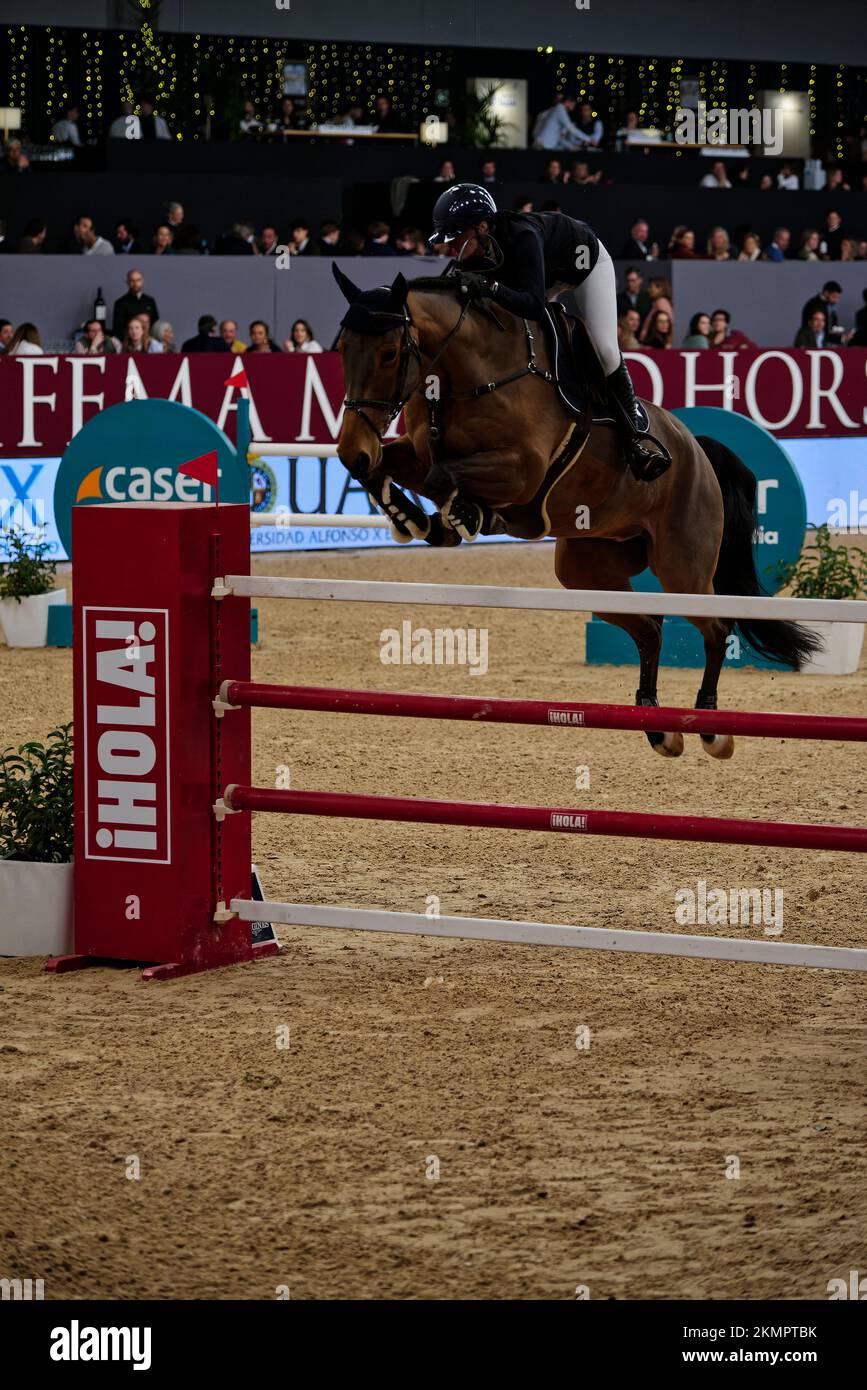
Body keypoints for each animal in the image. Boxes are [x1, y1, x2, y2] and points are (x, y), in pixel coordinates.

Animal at [333, 267, 817, 760]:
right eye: (342, 348)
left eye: (389, 353)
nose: (352, 448)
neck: (463, 374)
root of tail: (697, 449)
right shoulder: (415, 452)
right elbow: (393, 468)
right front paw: (415, 519)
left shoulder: (522, 470)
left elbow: (441, 476)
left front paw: (466, 516)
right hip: (589, 569)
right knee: (650, 629)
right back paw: (658, 726)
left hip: (682, 568)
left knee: (717, 628)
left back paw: (710, 726)